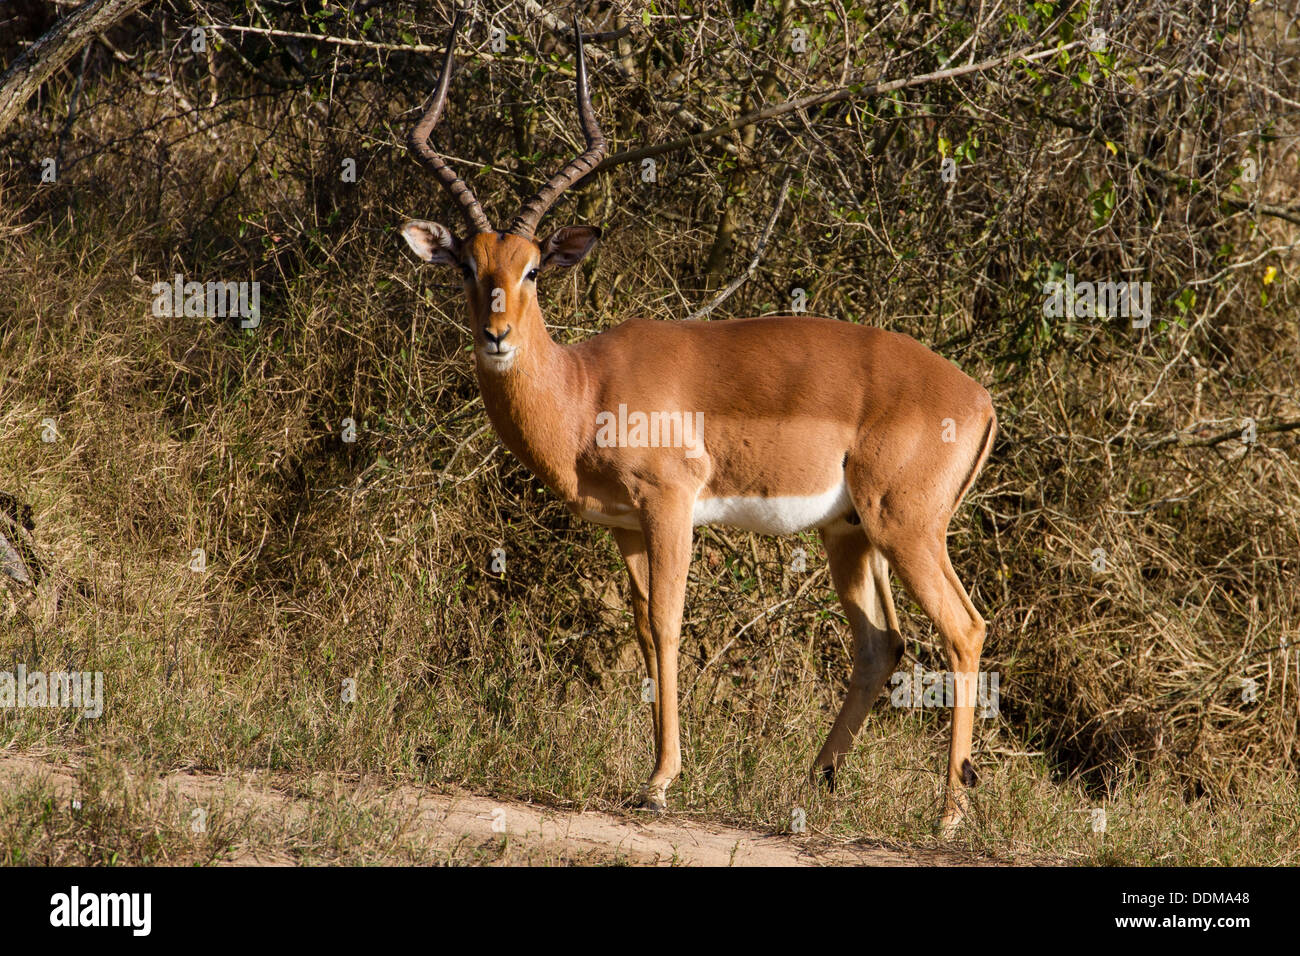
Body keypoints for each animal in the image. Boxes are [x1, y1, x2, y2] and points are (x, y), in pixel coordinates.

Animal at [400, 13, 997, 835]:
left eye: (532, 269)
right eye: (467, 266)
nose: (497, 336)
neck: (585, 388)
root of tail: (979, 398)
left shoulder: (671, 505)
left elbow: (669, 625)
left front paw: (659, 781)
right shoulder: (623, 526)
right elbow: (643, 631)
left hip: (906, 527)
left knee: (964, 630)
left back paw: (948, 815)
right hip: (849, 533)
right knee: (882, 644)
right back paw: (809, 787)